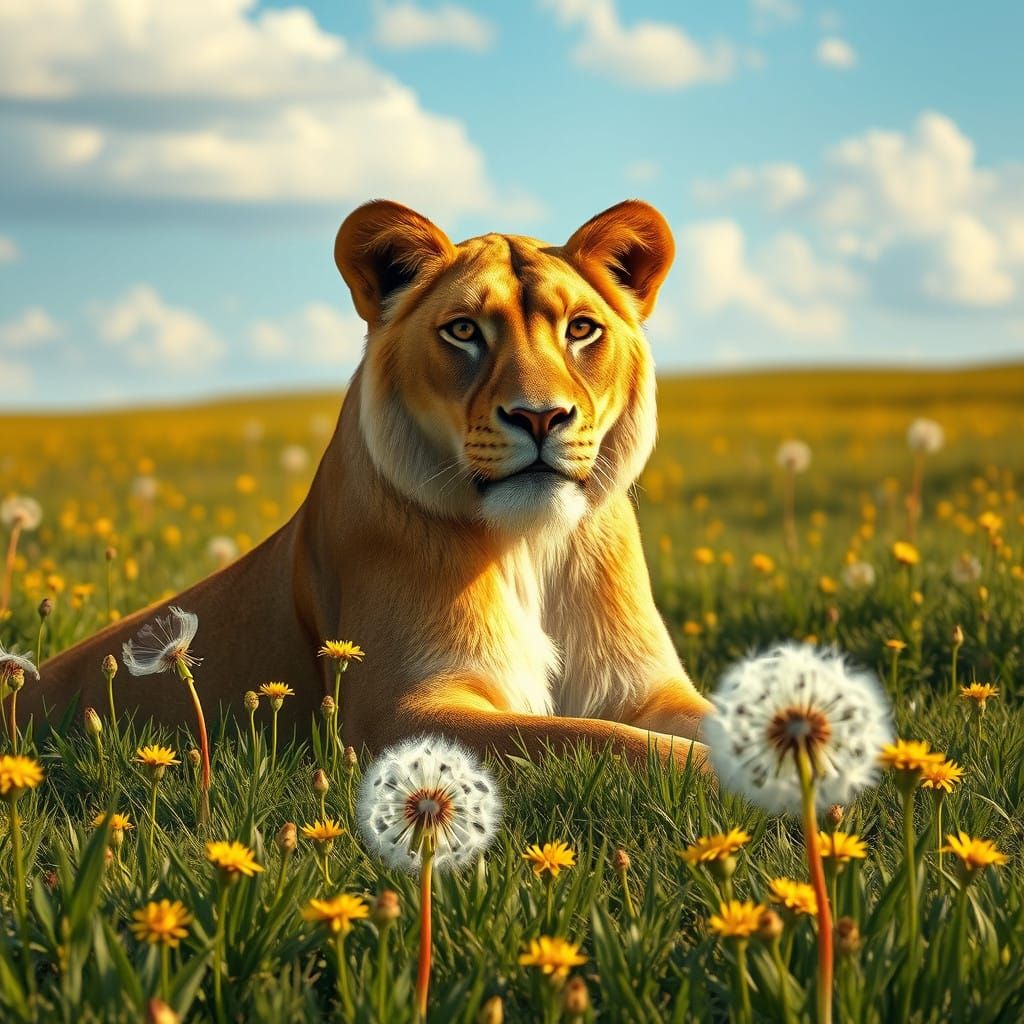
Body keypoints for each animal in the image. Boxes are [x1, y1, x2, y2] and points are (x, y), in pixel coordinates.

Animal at [23, 199, 711, 766]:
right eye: (464, 330)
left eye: (581, 329)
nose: (540, 416)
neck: (530, 546)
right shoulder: (399, 710)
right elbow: (606, 741)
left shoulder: (647, 688)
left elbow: (718, 721)